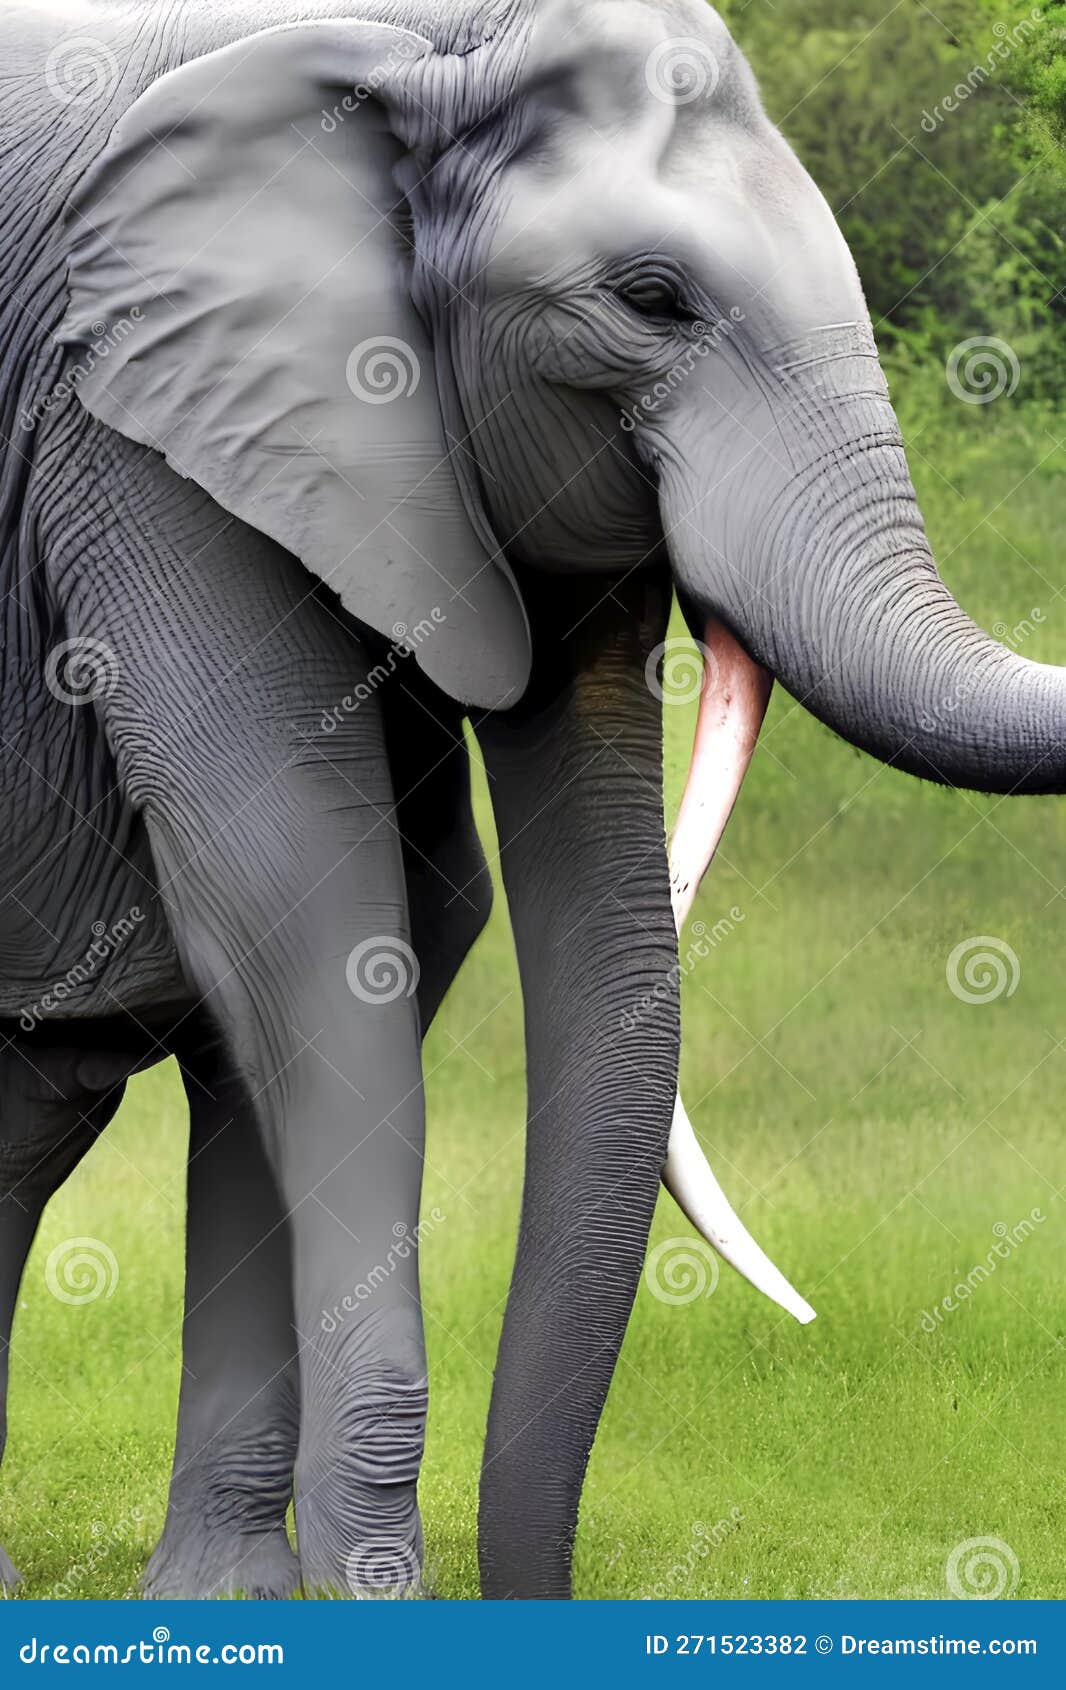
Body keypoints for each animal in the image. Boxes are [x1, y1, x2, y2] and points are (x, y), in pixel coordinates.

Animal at [0, 0, 1060, 1601]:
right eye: (650, 298)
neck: (415, 45)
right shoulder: (122, 437)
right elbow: (301, 904)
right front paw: (365, 1608)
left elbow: (410, 913)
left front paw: (231, 1608)